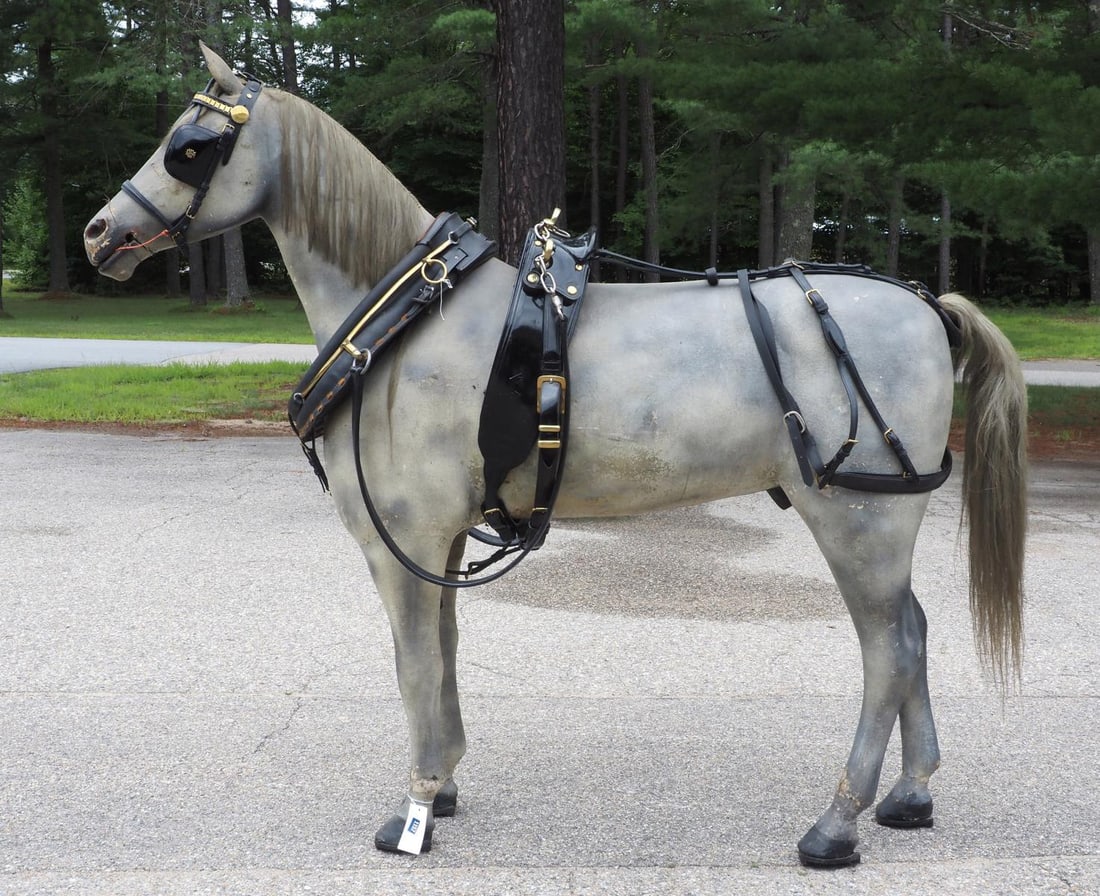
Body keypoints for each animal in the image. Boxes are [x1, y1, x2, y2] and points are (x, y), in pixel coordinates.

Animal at [84, 44, 1027, 867]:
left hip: (858, 517)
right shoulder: (442, 540)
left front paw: (414, 806)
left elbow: (412, 663)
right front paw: (445, 784)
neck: (406, 321)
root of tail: (927, 307)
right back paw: (911, 794)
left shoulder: (403, 541)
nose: (100, 233)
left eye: (190, 146)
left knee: (888, 650)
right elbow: (445, 648)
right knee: (913, 631)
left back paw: (837, 823)